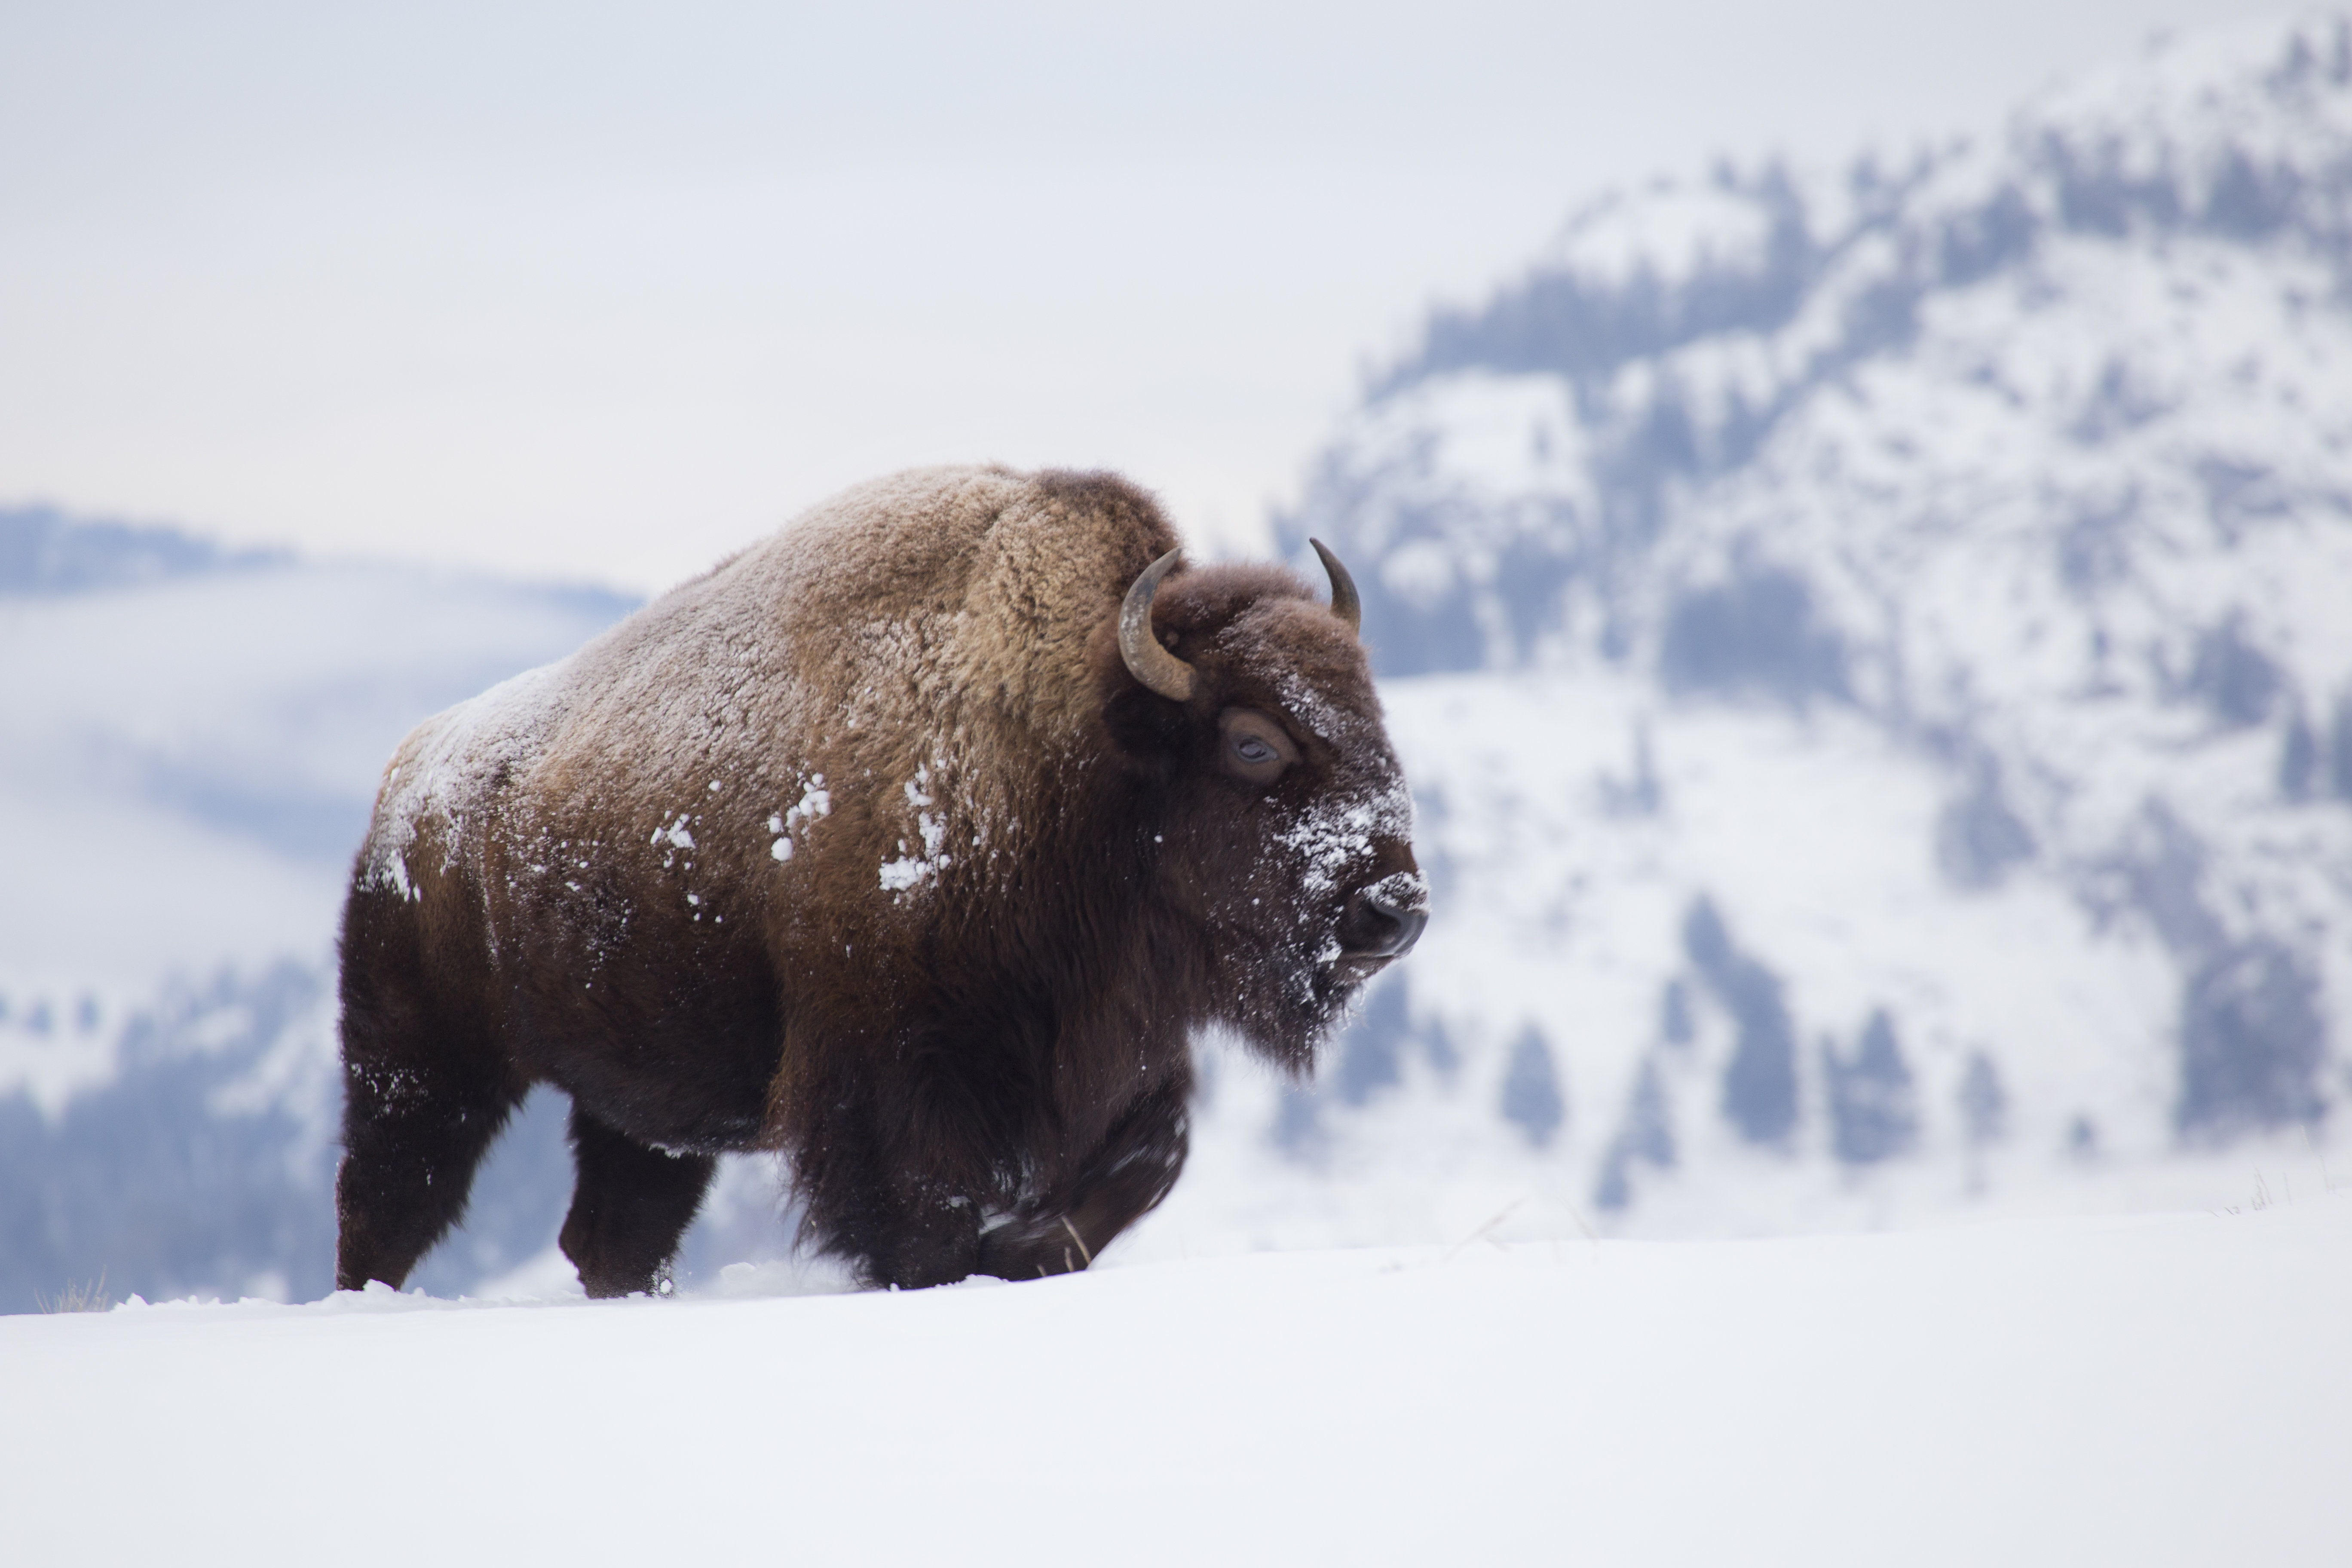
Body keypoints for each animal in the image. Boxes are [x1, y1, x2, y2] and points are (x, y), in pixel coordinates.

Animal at [335, 466, 1427, 1294]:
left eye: (1374, 716)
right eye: (1252, 744)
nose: (1394, 909)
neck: (1071, 758)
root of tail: (408, 780)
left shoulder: (1120, 1050)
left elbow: (1149, 1162)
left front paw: (1030, 1248)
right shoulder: (892, 1072)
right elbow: (921, 1219)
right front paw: (990, 1254)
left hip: (641, 1104)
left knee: (610, 1233)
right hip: (421, 1060)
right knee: (390, 1201)